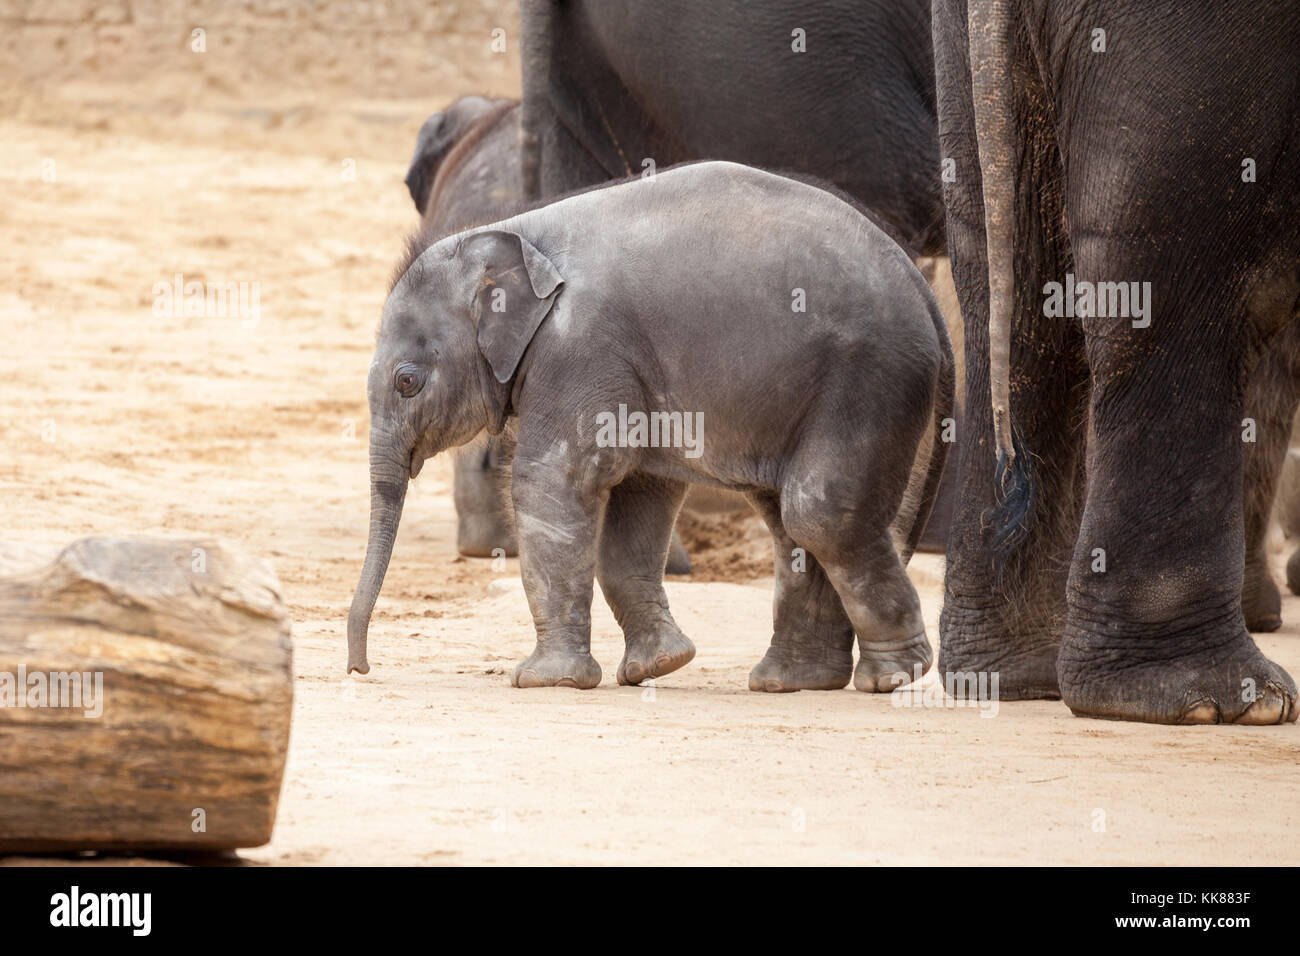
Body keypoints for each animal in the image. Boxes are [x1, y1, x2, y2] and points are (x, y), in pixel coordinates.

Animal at [347, 161, 955, 694]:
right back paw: (791, 682)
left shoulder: (582, 351)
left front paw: (543, 680)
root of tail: (924, 290)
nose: (360, 669)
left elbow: (550, 484)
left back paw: (891, 677)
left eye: (406, 381)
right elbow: (634, 503)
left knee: (818, 515)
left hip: (868, 380)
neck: (518, 232)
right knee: (791, 522)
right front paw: (658, 666)